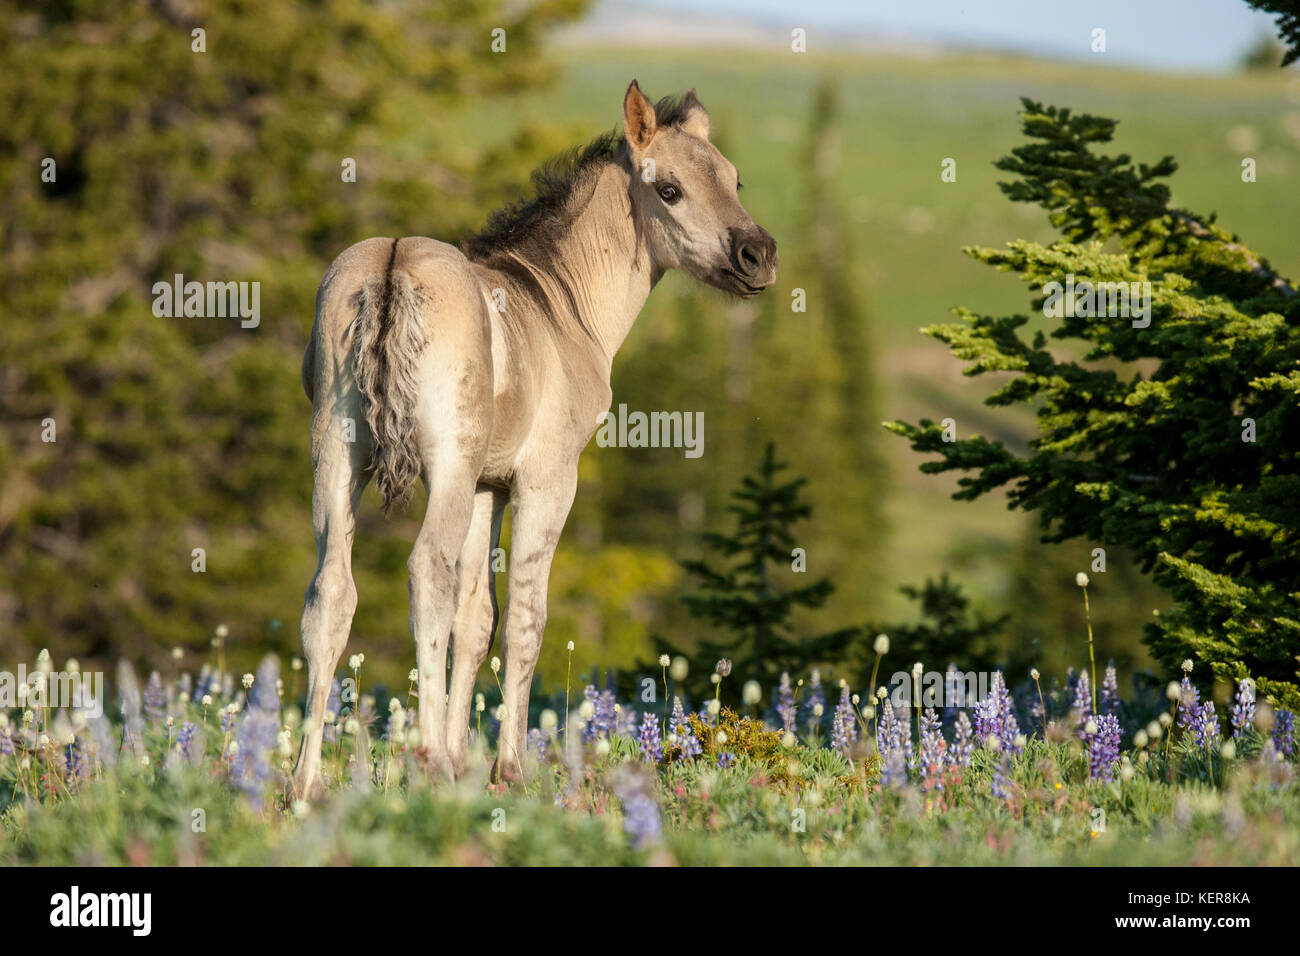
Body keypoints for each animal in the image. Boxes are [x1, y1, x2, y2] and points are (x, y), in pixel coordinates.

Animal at [292, 80, 778, 799]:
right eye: (669, 189)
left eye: (733, 178)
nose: (758, 255)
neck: (559, 307)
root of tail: (392, 266)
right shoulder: (544, 481)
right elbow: (523, 618)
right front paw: (507, 770)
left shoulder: (487, 487)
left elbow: (476, 618)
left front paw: (468, 763)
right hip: (444, 467)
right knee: (425, 572)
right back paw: (428, 764)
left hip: (337, 455)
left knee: (332, 592)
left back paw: (303, 784)